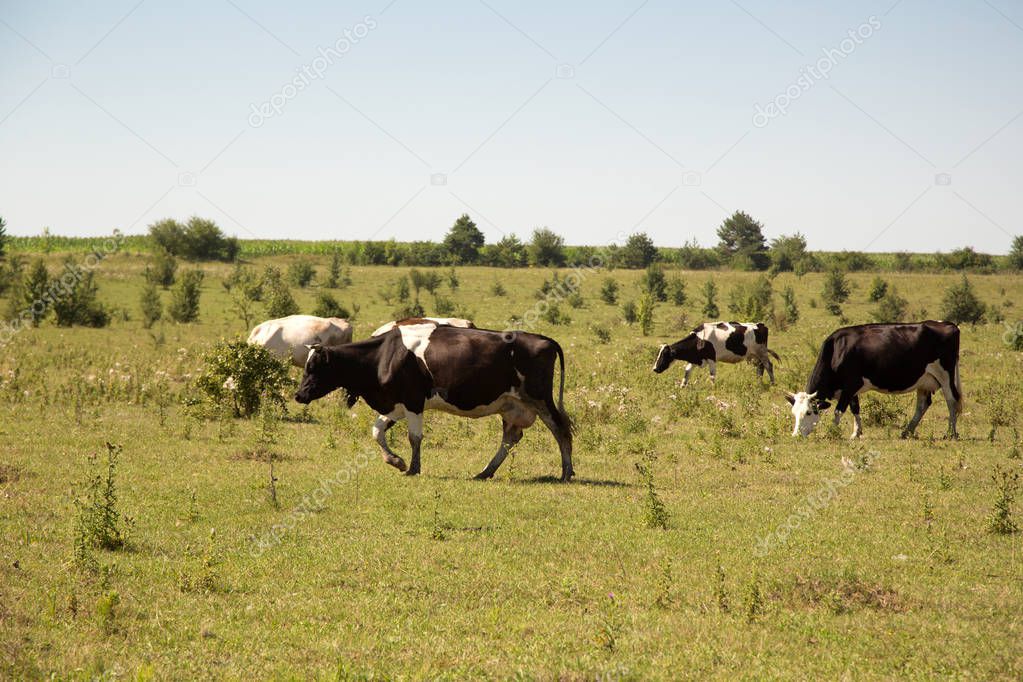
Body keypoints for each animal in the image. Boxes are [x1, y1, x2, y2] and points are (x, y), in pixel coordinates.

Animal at [294, 325, 574, 481]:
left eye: (314, 368)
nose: (299, 395)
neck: (384, 355)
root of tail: (544, 339)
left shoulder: (414, 401)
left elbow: (414, 438)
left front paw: (413, 467)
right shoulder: (396, 404)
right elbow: (377, 431)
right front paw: (396, 461)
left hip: (539, 398)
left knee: (561, 430)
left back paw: (566, 472)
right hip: (510, 405)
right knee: (510, 438)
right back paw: (485, 472)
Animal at [785, 321, 963, 439]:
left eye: (808, 412)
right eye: (794, 412)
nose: (795, 434)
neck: (837, 351)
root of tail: (948, 324)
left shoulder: (851, 385)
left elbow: (838, 411)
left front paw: (832, 432)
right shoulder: (851, 390)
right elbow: (855, 409)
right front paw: (856, 433)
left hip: (945, 375)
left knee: (951, 401)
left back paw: (951, 433)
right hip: (924, 380)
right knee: (923, 405)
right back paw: (906, 431)